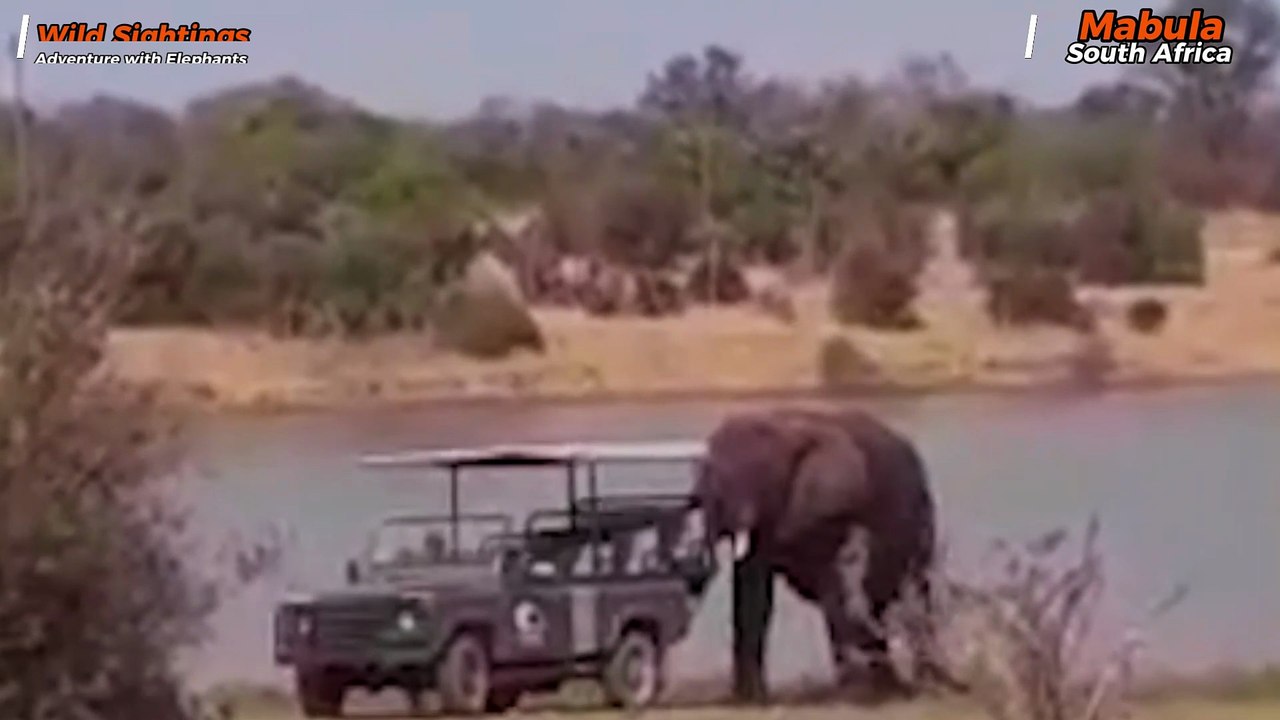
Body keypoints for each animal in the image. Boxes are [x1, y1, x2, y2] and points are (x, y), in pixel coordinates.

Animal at [693, 407, 943, 703]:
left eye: (758, 477)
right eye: (706, 474)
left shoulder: (827, 509)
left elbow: (834, 589)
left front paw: (854, 691)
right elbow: (753, 596)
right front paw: (750, 699)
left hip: (916, 518)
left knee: (897, 591)